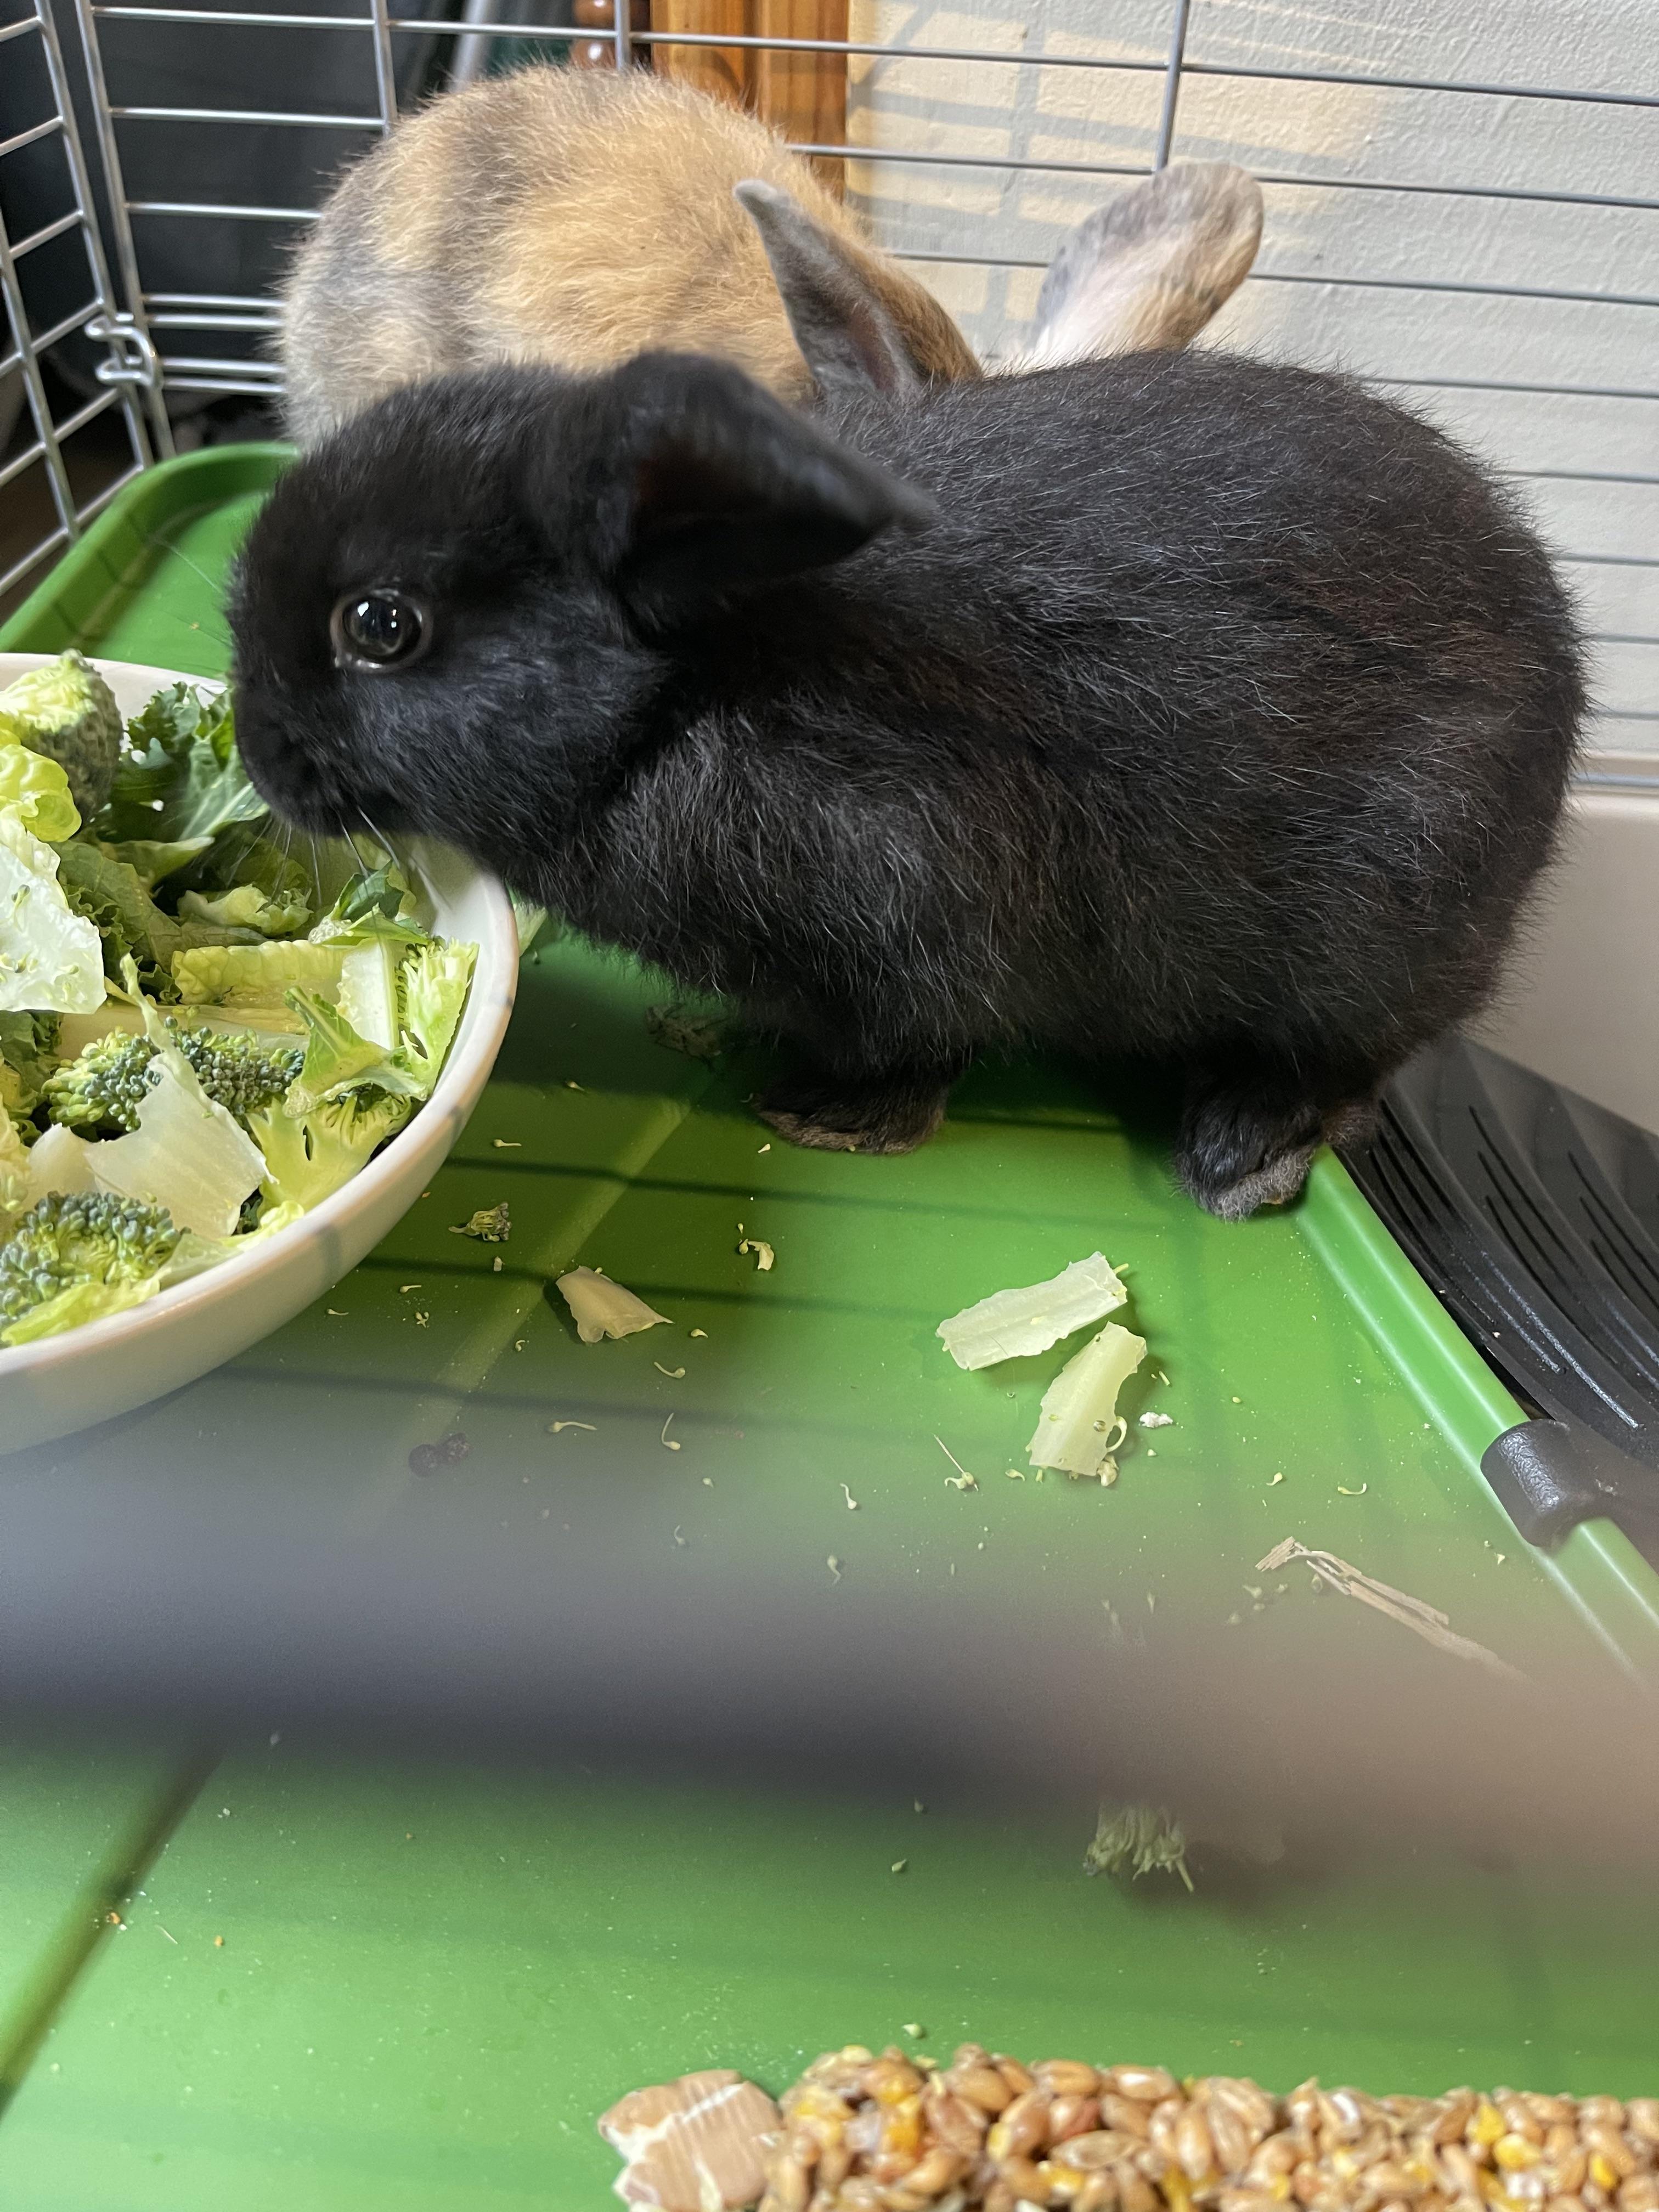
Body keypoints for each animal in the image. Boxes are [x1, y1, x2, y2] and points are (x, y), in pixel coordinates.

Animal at [230, 185, 1583, 1220]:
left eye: (381, 627)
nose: (257, 753)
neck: (696, 696)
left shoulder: (918, 907)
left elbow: (918, 1045)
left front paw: (827, 1115)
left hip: (1388, 920)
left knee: (1353, 1056)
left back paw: (1243, 1153)